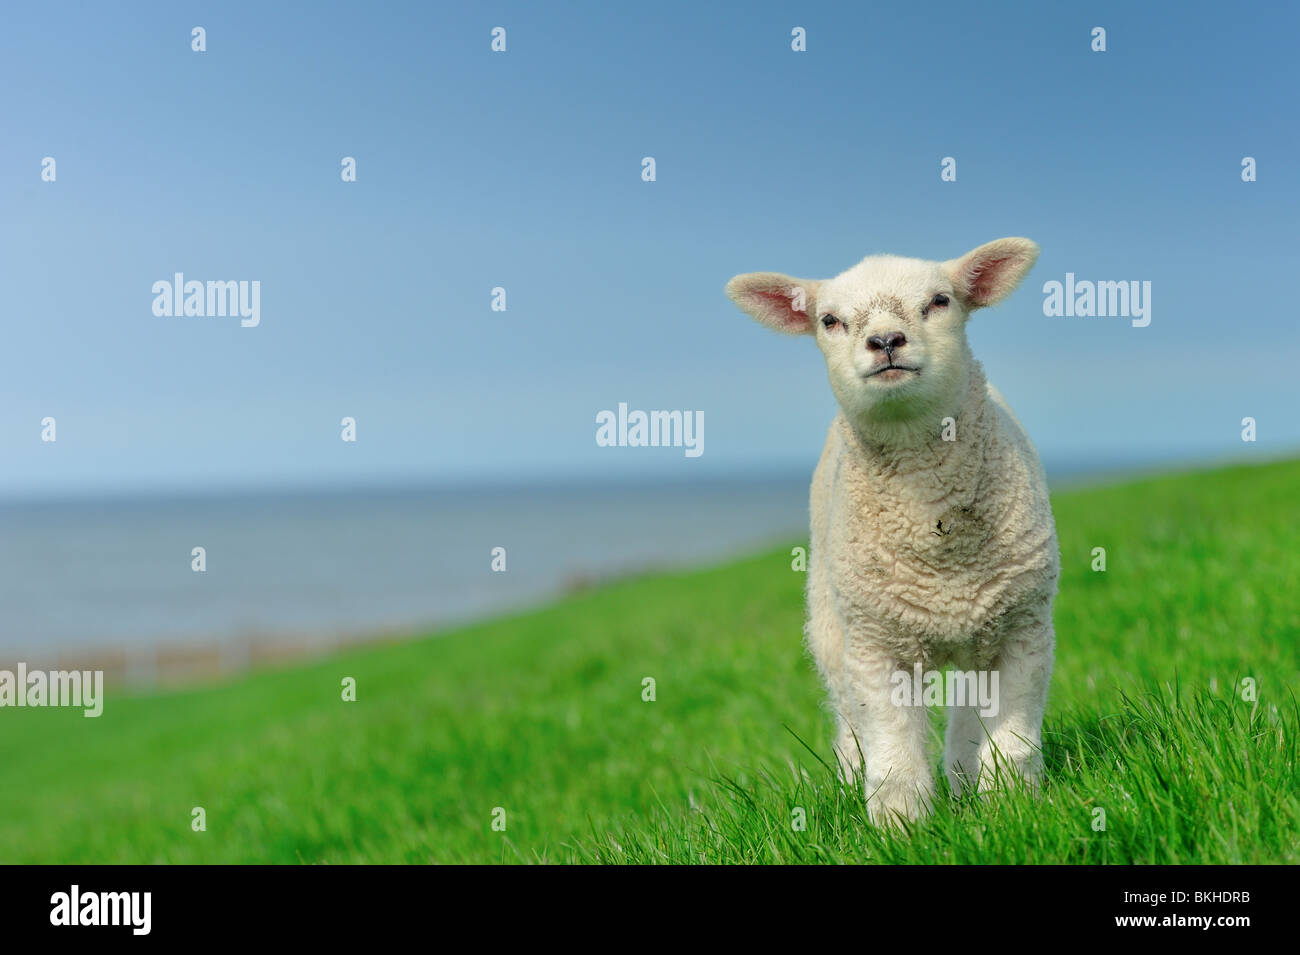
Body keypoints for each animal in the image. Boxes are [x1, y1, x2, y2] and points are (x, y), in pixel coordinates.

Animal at [726, 238, 1059, 826]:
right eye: (829, 320)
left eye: (941, 300)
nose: (884, 342)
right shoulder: (876, 644)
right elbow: (893, 755)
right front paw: (901, 827)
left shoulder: (1024, 627)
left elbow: (1012, 741)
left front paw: (1010, 810)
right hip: (832, 626)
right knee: (849, 722)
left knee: (967, 707)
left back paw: (964, 775)